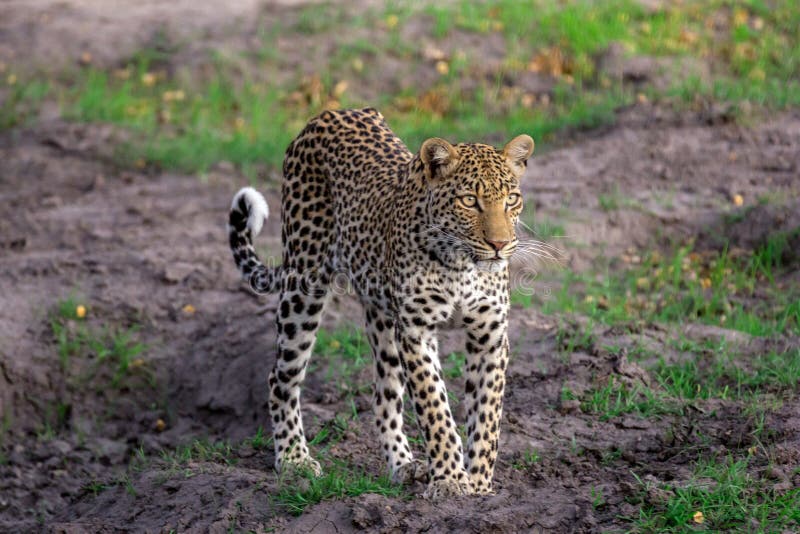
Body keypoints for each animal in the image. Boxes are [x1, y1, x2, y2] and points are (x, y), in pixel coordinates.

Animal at [227, 107, 534, 499]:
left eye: (511, 199)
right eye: (469, 201)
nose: (500, 244)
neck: (462, 265)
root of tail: (331, 113)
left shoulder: (489, 335)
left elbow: (487, 414)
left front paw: (478, 484)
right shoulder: (417, 332)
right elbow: (436, 409)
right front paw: (450, 480)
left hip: (382, 318)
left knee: (384, 395)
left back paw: (403, 464)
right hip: (303, 285)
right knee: (281, 377)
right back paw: (294, 459)